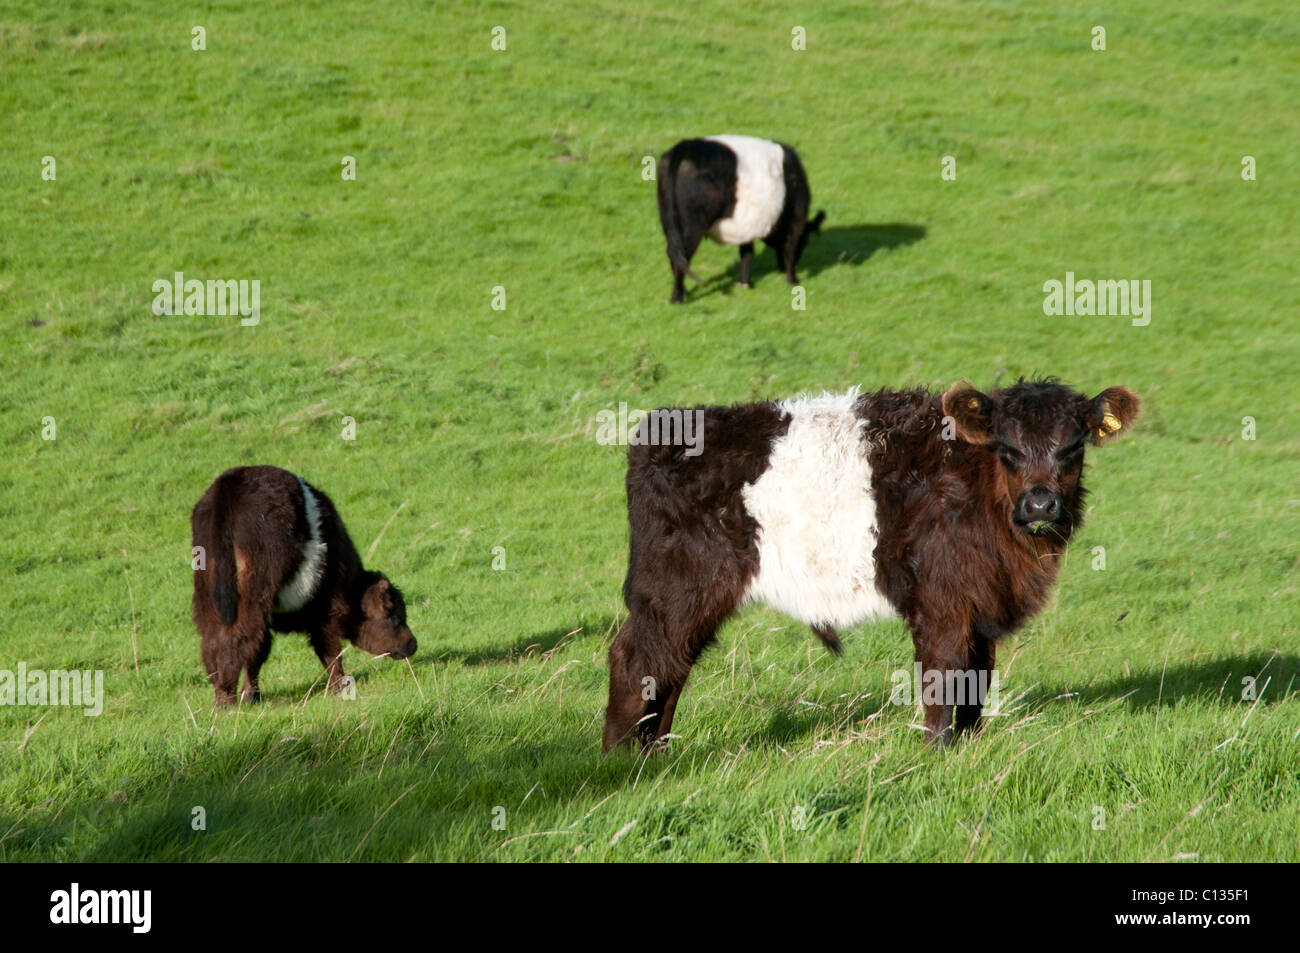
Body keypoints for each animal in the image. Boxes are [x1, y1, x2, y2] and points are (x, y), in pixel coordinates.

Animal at [190, 465, 417, 706]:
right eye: (394, 616)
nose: (412, 644)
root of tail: (229, 484)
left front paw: (252, 695)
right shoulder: (326, 609)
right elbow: (329, 648)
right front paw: (340, 685)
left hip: (208, 597)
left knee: (213, 643)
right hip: (251, 597)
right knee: (240, 639)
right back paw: (228, 701)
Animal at [602, 378, 1140, 750]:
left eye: (1073, 448)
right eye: (1006, 449)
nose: (1040, 505)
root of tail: (664, 426)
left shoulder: (981, 607)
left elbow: (976, 682)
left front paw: (970, 746)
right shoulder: (941, 604)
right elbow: (943, 678)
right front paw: (937, 753)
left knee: (671, 668)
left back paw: (655, 755)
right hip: (675, 589)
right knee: (636, 660)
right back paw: (619, 763)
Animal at [656, 135, 826, 303]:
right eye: (805, 241)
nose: (781, 269)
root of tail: (687, 145)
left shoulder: (747, 226)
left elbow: (747, 252)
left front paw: (745, 283)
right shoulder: (796, 219)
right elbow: (789, 248)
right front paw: (793, 280)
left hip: (669, 221)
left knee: (674, 254)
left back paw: (683, 292)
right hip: (693, 224)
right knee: (682, 255)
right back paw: (677, 298)